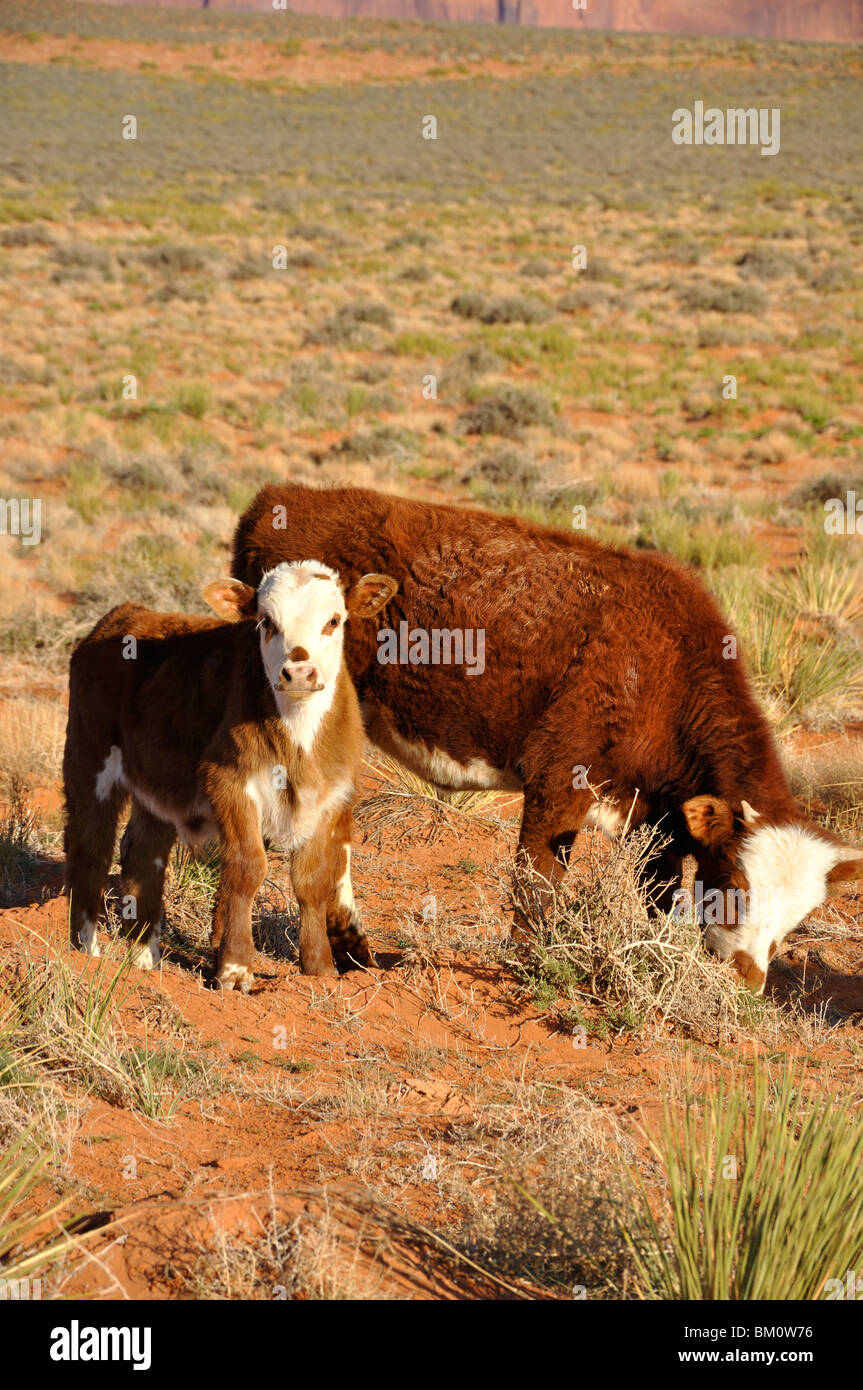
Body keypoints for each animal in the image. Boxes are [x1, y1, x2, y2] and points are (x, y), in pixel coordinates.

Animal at [62, 560, 398, 991]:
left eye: (334, 621)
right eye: (267, 621)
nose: (299, 672)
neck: (297, 739)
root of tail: (125, 613)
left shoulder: (332, 793)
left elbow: (313, 879)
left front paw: (319, 969)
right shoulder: (229, 781)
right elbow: (247, 867)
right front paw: (235, 968)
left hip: (155, 784)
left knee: (142, 858)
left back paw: (144, 960)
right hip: (89, 759)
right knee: (90, 850)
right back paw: (86, 953)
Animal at [232, 483, 863, 993]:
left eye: (799, 918)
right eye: (734, 881)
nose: (747, 978)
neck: (664, 665)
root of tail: (279, 498)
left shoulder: (660, 820)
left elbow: (656, 902)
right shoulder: (559, 775)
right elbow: (537, 884)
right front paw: (530, 966)